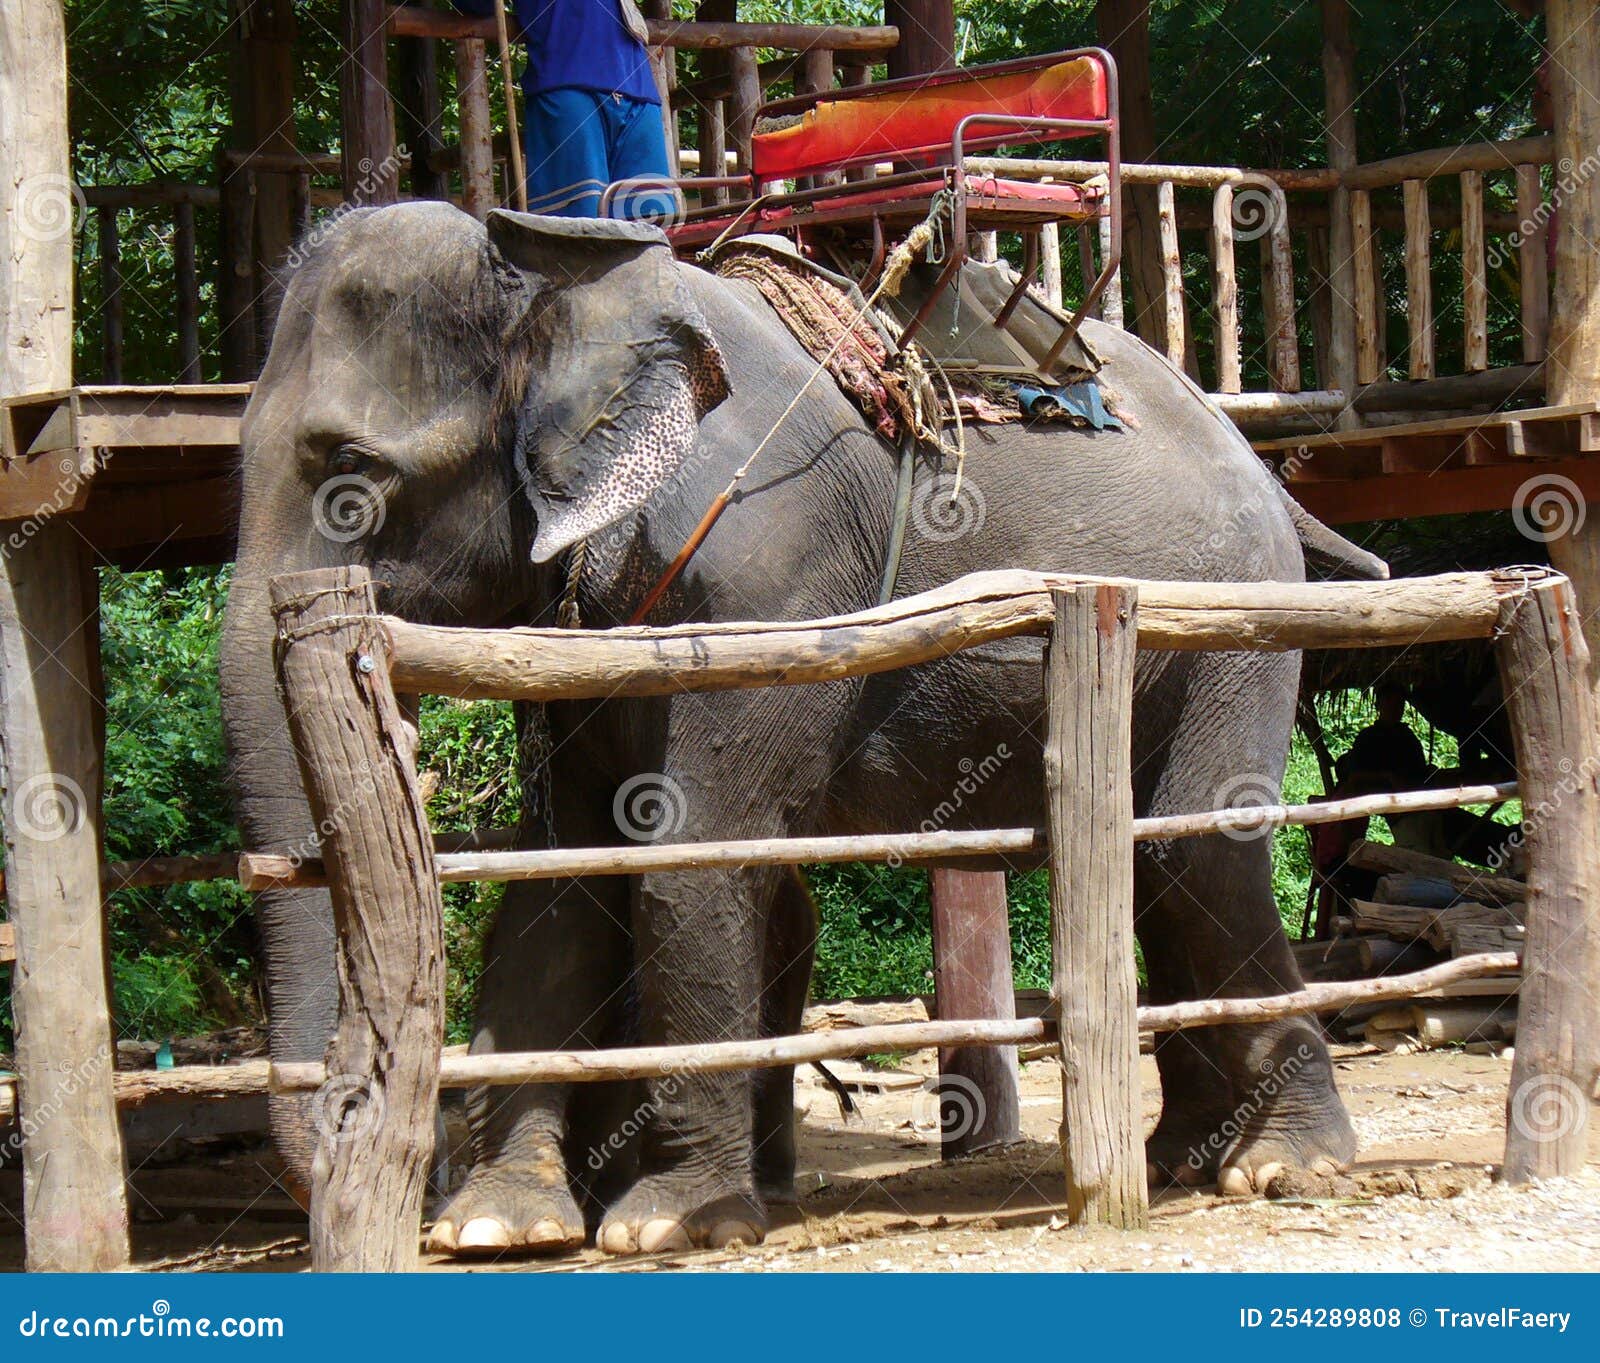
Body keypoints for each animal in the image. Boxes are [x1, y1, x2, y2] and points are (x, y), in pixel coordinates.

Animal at [220, 200, 1379, 1258]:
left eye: (354, 478)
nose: (402, 1170)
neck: (565, 277)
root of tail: (1253, 453)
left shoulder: (765, 577)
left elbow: (691, 852)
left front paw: (666, 1226)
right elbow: (563, 866)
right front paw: (496, 1225)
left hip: (1235, 619)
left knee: (1197, 851)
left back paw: (1282, 1164)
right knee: (1154, 864)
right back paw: (1182, 1157)